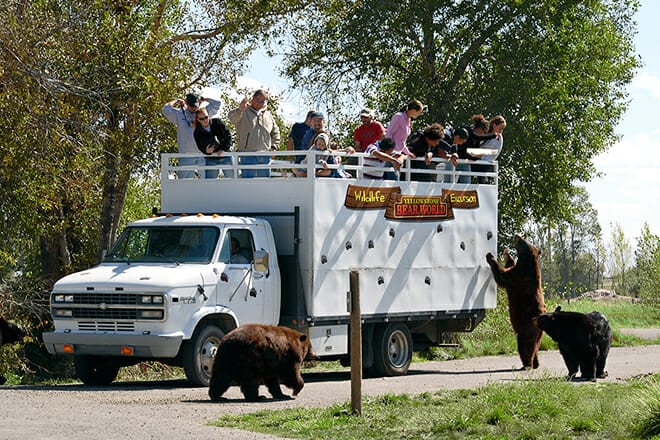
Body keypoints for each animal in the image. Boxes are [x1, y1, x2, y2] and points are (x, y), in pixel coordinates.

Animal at [486, 235, 546, 370]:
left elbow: (502, 276)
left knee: (526, 345)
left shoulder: (519, 276)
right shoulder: (519, 271)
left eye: (522, 240)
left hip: (527, 325)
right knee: (536, 345)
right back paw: (536, 363)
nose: (516, 236)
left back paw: (527, 364)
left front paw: (490, 256)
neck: (527, 261)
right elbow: (509, 265)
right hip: (537, 332)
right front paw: (507, 254)